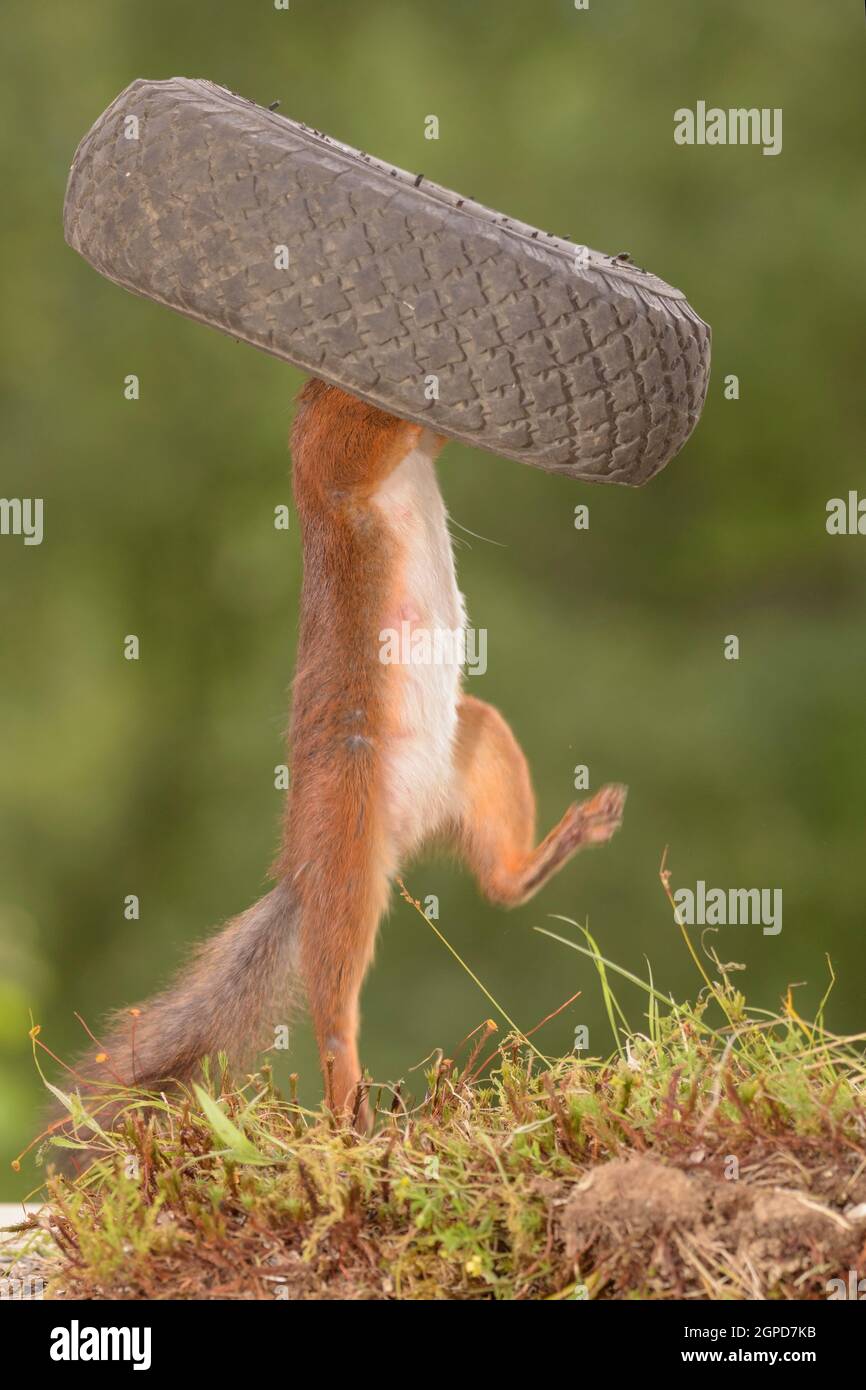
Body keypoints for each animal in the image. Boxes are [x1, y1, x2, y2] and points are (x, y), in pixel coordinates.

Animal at [68, 379, 626, 1128]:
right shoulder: (325, 454)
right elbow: (357, 447)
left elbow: (431, 443)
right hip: (347, 825)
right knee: (335, 999)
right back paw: (347, 1108)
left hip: (481, 745)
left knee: (500, 881)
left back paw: (558, 845)